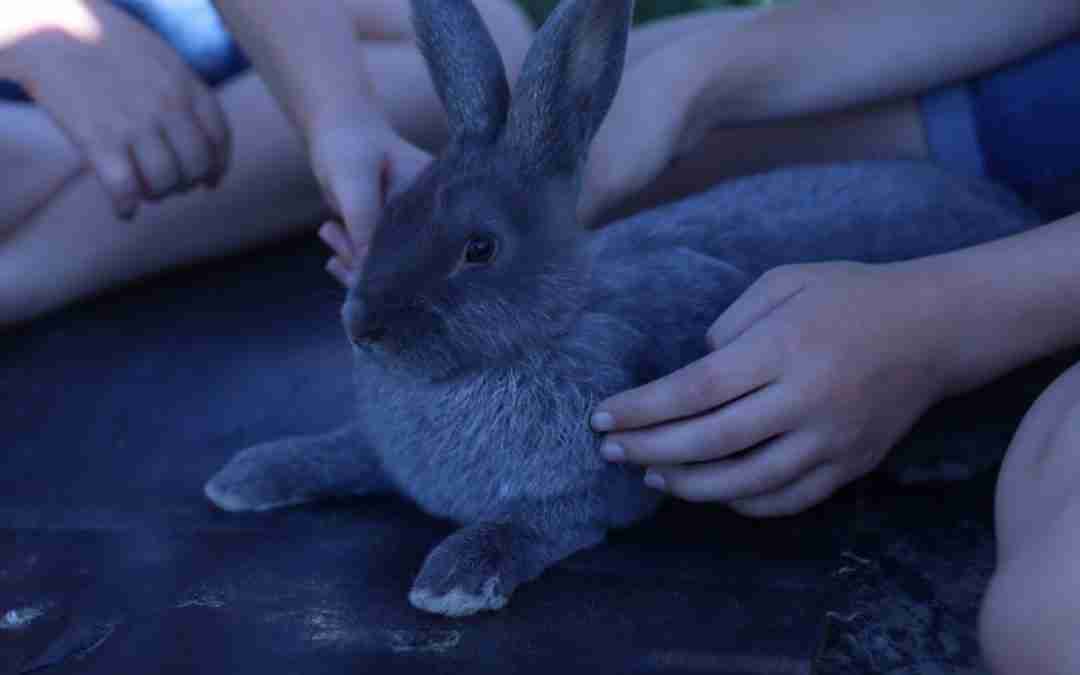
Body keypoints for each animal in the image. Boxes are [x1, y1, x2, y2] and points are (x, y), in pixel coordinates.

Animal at [204, 0, 1040, 617]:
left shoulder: (594, 490)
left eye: (480, 248)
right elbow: (341, 449)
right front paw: (248, 475)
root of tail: (1012, 211)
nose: (363, 327)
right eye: (392, 210)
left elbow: (536, 524)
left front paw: (453, 577)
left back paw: (939, 455)